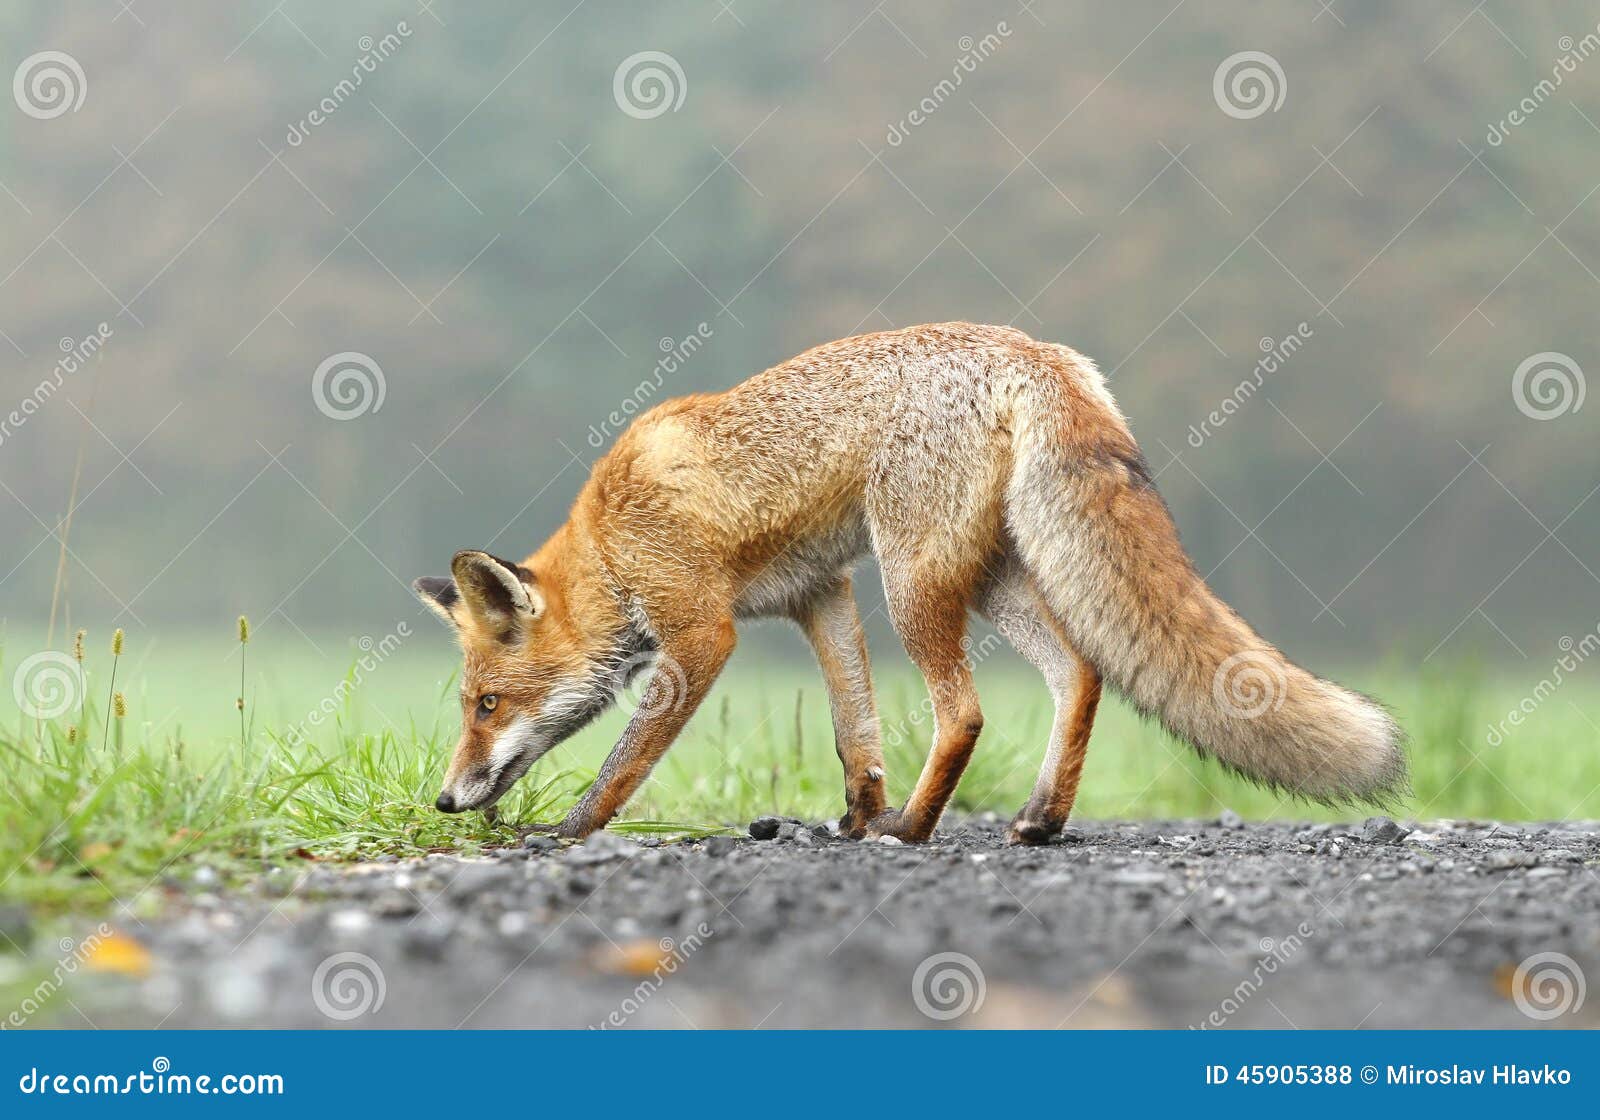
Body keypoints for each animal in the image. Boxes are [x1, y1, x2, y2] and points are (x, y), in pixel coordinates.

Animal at [414, 322, 1406, 844]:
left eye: (487, 706)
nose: (444, 799)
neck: (610, 537)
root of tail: (1034, 348)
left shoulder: (702, 633)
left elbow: (627, 759)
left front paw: (571, 829)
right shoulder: (819, 596)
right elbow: (855, 729)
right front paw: (855, 816)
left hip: (915, 581)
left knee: (963, 713)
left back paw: (916, 830)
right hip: (990, 581)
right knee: (1080, 673)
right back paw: (1038, 817)